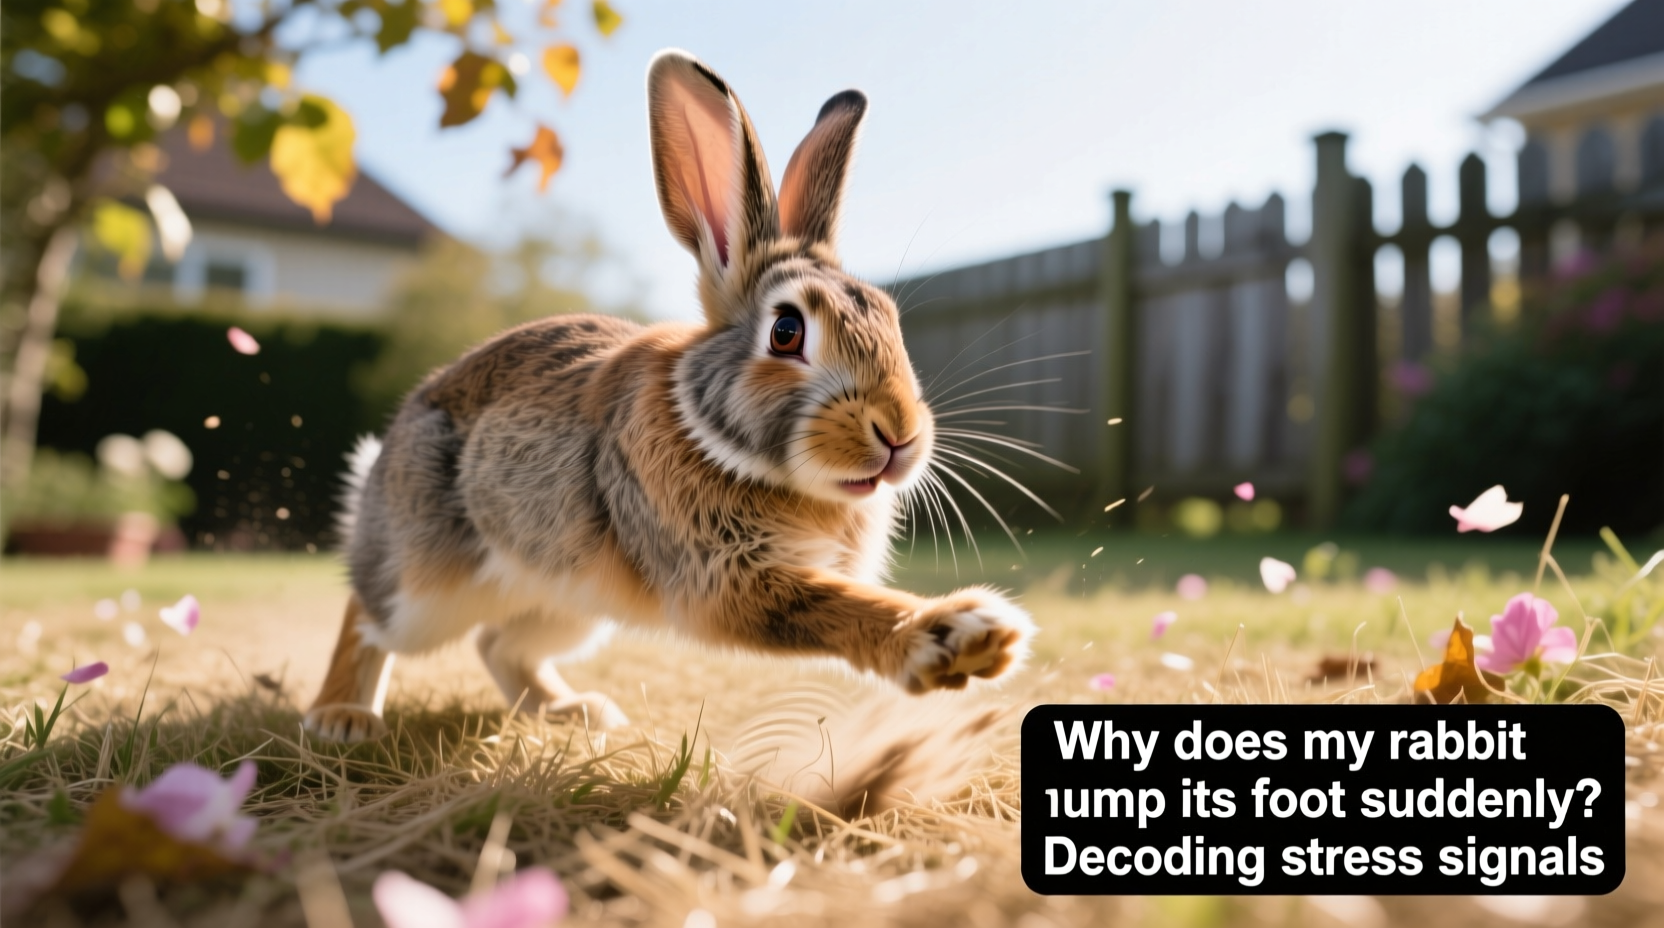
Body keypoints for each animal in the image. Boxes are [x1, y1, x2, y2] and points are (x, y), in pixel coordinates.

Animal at [302, 49, 1036, 743]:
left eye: (890, 318)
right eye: (787, 330)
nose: (899, 434)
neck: (714, 438)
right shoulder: (731, 577)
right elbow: (831, 605)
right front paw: (961, 634)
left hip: (567, 605)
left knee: (497, 643)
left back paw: (575, 712)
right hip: (425, 587)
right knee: (368, 614)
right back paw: (342, 717)